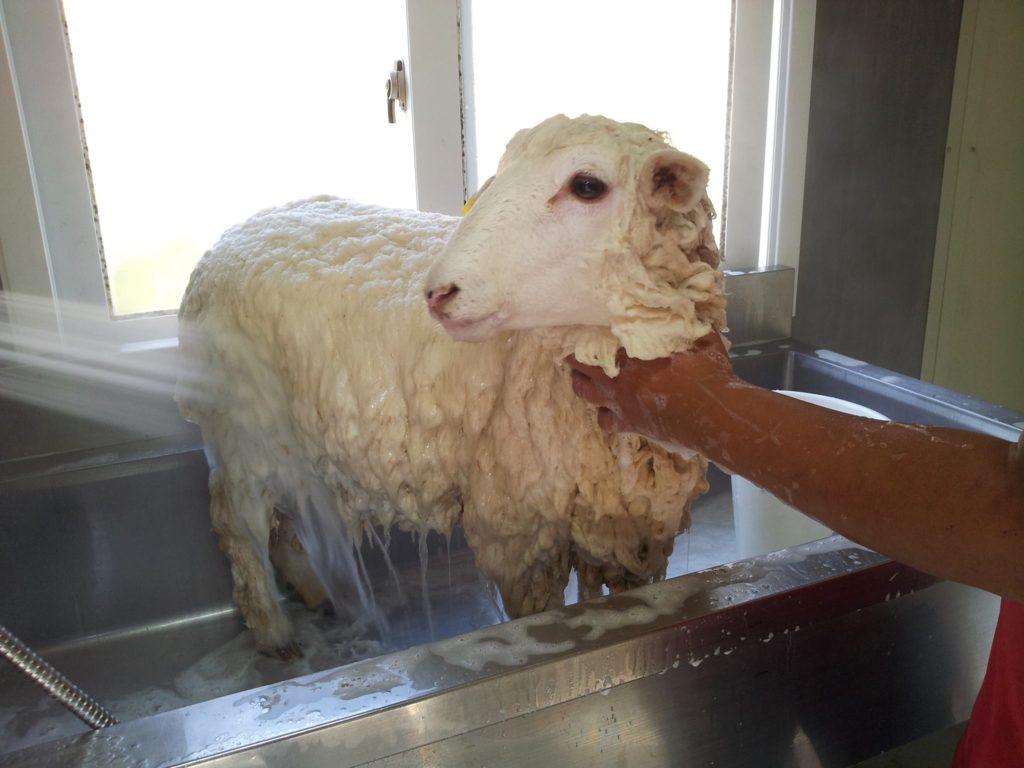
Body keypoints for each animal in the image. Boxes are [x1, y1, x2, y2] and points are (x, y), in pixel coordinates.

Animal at [176, 114, 727, 658]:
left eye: (587, 186)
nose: (438, 293)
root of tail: (228, 239)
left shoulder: (628, 528)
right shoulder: (520, 527)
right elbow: (536, 609)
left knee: (287, 523)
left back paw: (315, 592)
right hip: (241, 433)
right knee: (237, 523)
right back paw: (274, 632)